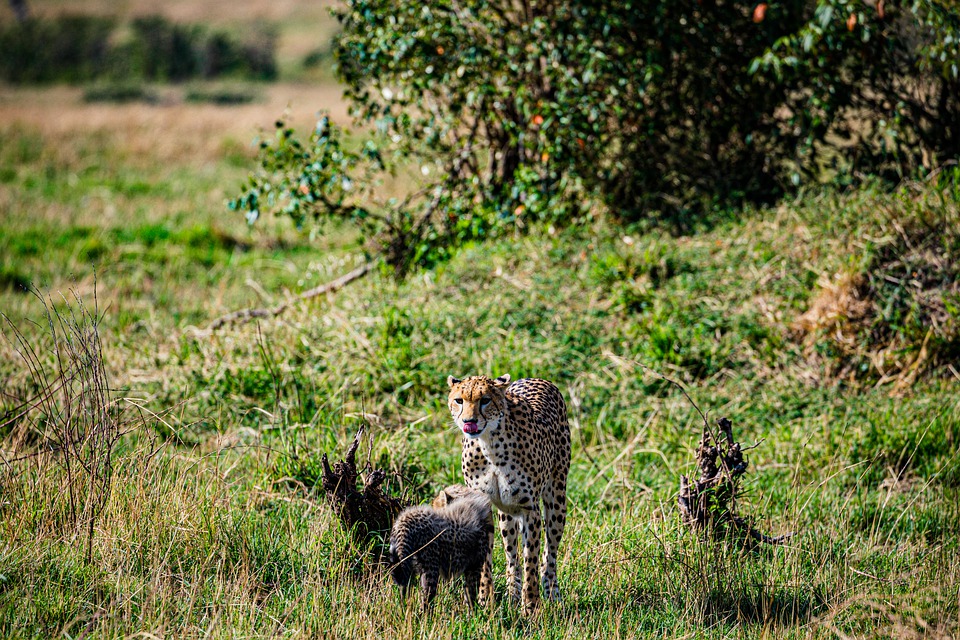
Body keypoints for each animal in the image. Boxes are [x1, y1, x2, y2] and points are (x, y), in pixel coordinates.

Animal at [446, 374, 571, 614]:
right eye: (459, 400)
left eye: (485, 400)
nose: (469, 421)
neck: (490, 445)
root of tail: (536, 378)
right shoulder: (483, 506)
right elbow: (487, 560)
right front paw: (485, 603)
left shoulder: (529, 509)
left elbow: (531, 560)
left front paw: (531, 607)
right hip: (506, 514)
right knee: (512, 555)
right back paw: (512, 594)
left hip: (557, 498)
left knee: (550, 554)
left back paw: (552, 594)